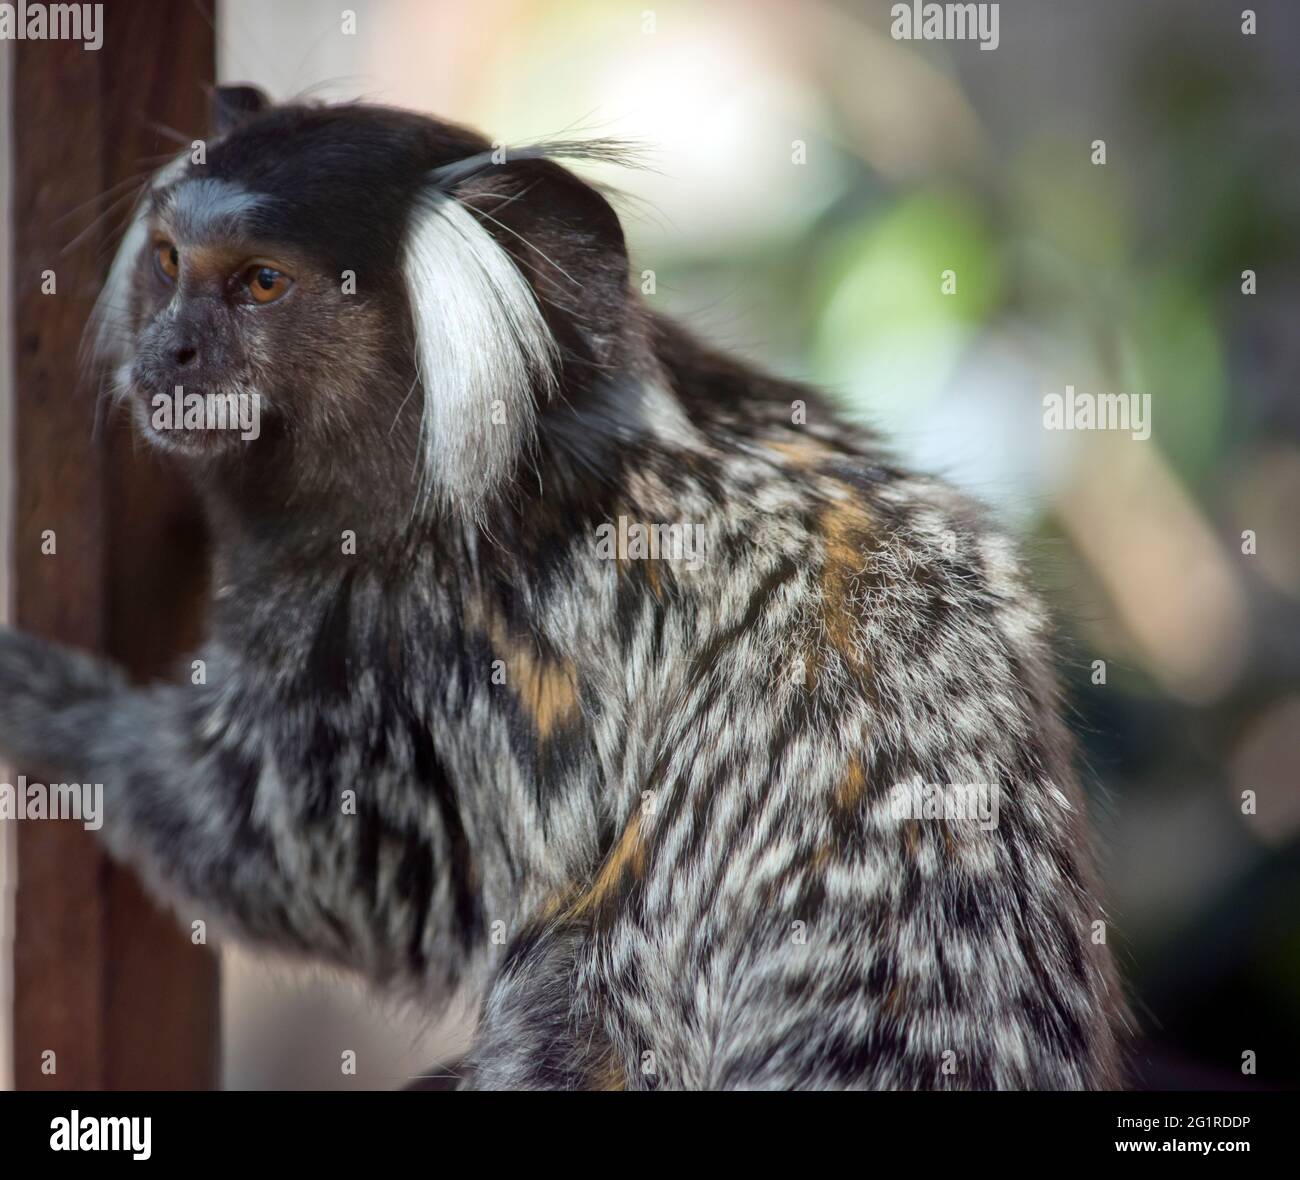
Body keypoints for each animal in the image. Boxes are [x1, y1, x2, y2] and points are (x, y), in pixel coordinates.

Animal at [0, 87, 1125, 1090]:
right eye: (168, 264)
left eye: (260, 285)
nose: (170, 349)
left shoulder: (435, 643)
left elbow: (321, 860)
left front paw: (64, 722)